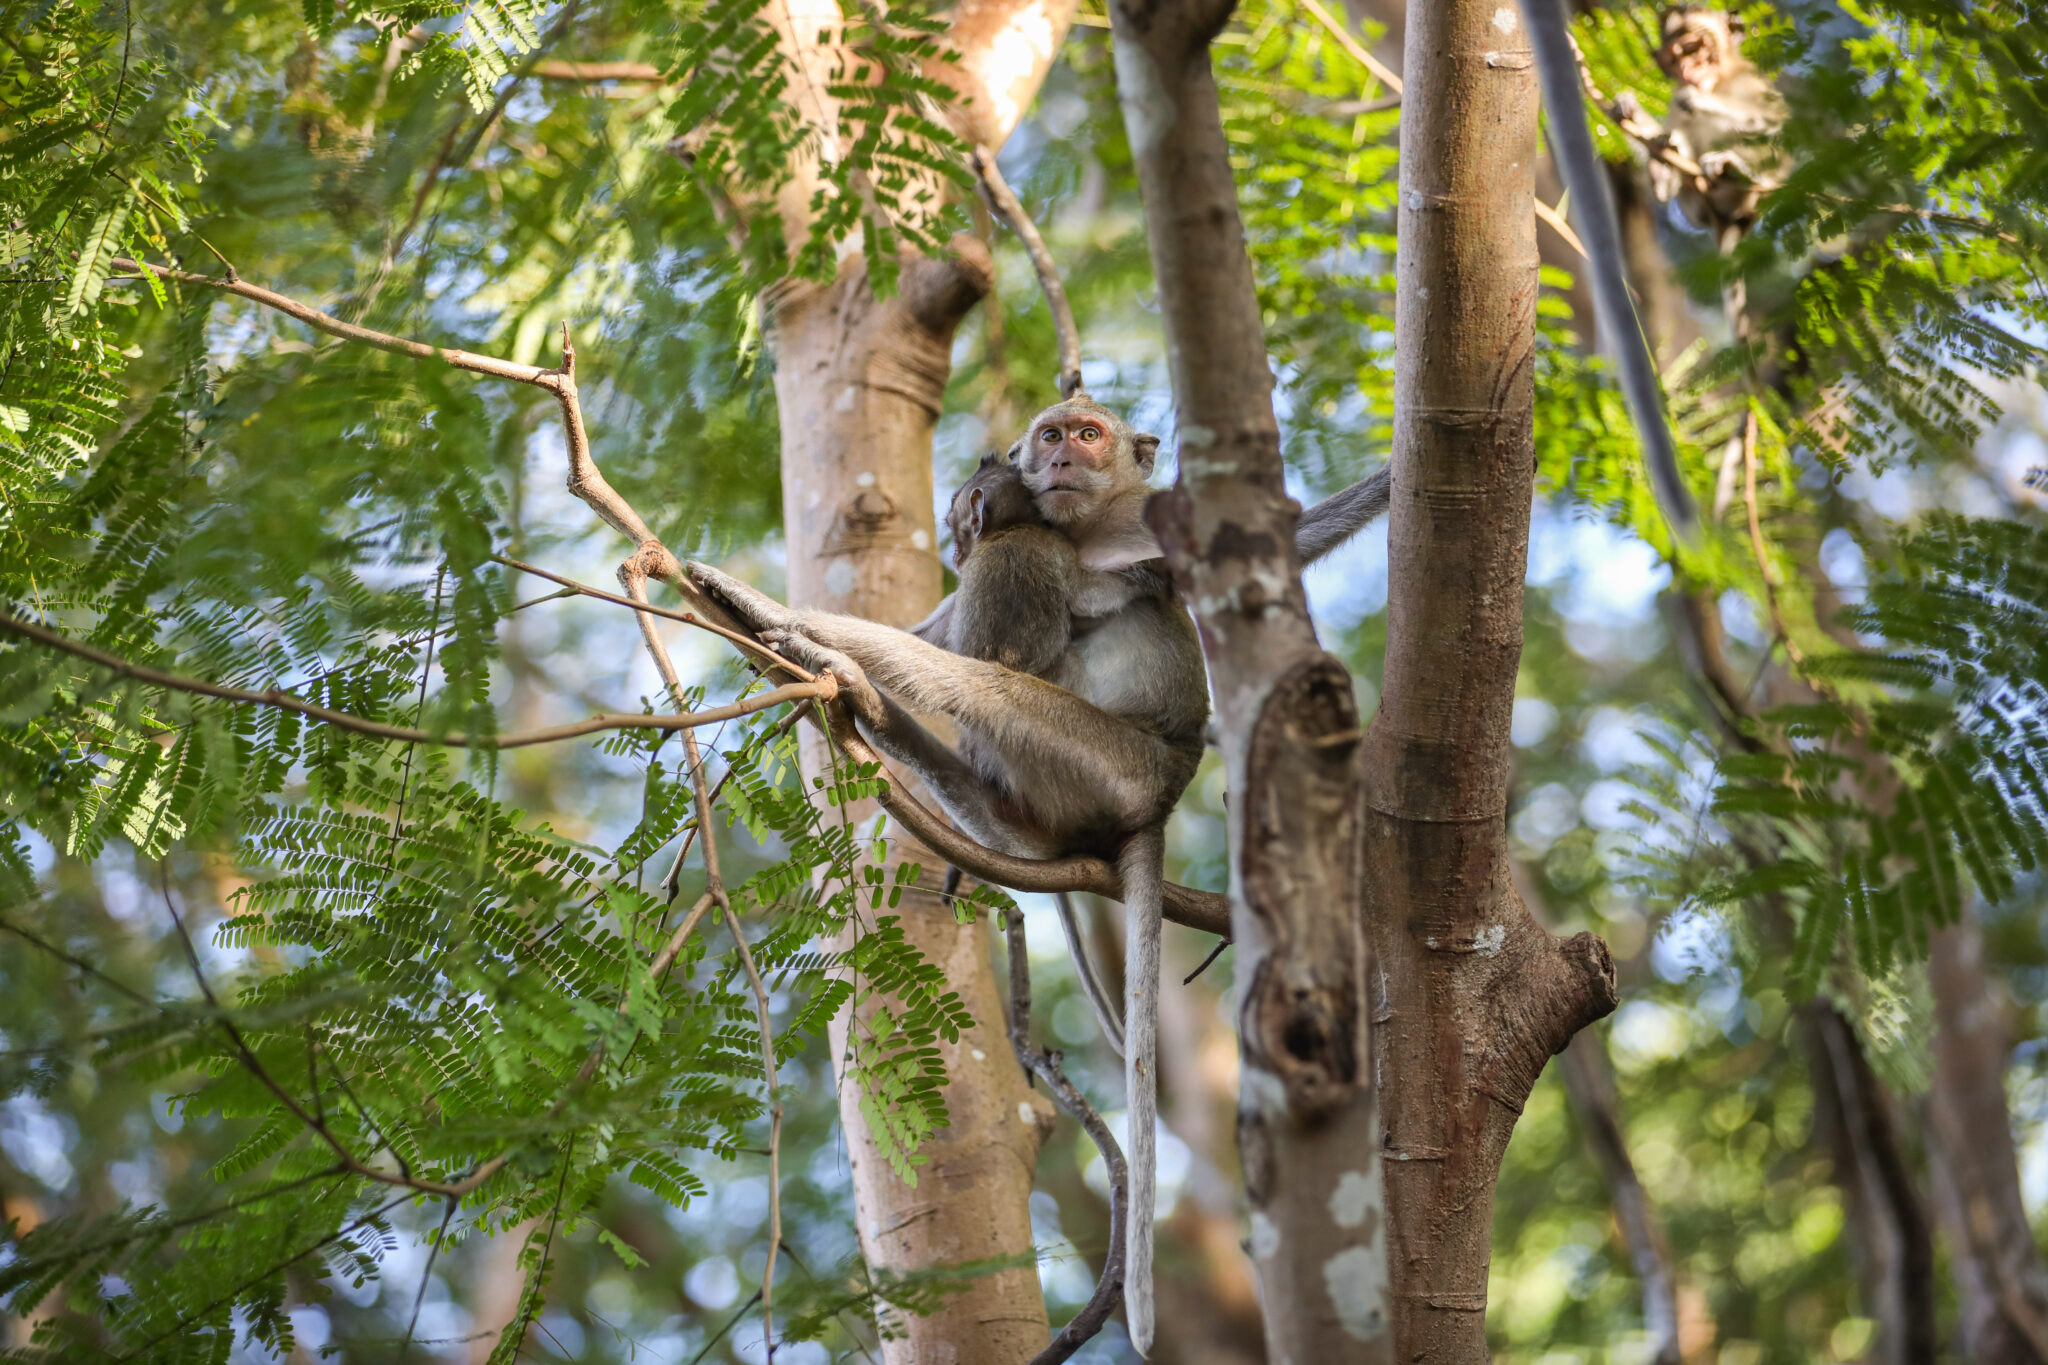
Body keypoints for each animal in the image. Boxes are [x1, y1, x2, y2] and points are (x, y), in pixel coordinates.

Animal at [689, 395, 1392, 1356]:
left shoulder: (1109, 534)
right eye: (1052, 435)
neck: (1087, 531)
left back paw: (814, 644)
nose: (1060, 458)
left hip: (1110, 759)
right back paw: (861, 701)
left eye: (1088, 435)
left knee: (989, 683)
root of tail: (1157, 801)